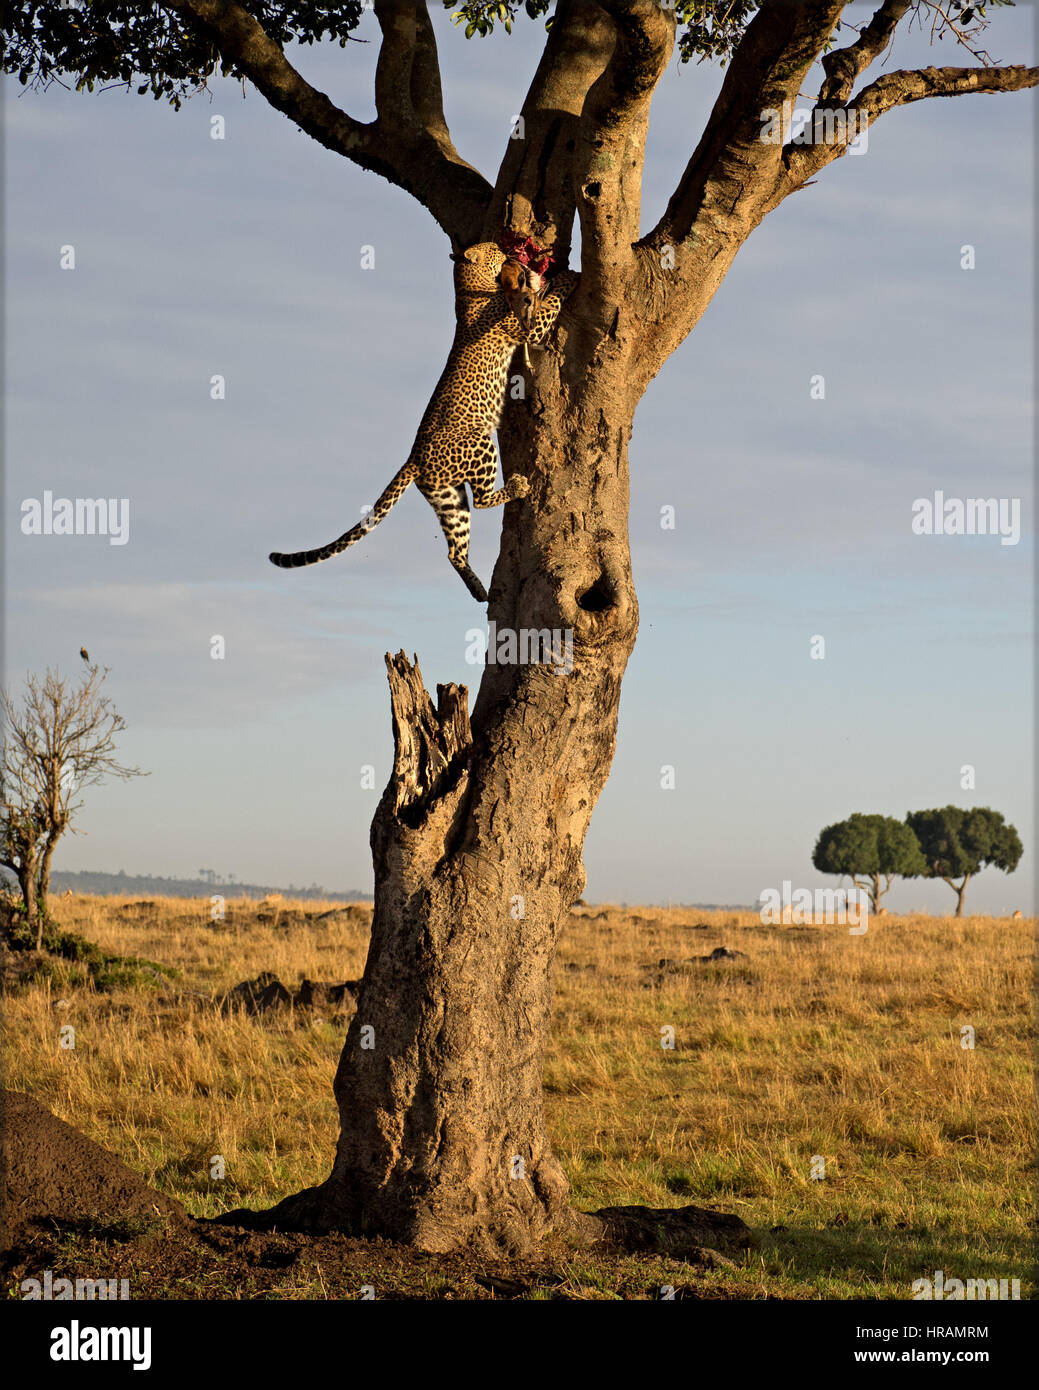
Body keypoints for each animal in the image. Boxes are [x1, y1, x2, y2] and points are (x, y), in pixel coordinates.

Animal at [269, 242, 578, 603]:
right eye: (494, 251)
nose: (508, 251)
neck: (467, 288)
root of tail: (413, 458)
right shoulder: (524, 326)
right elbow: (549, 305)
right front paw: (567, 279)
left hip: (446, 495)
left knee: (455, 548)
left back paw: (480, 591)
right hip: (478, 444)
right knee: (483, 499)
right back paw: (517, 487)